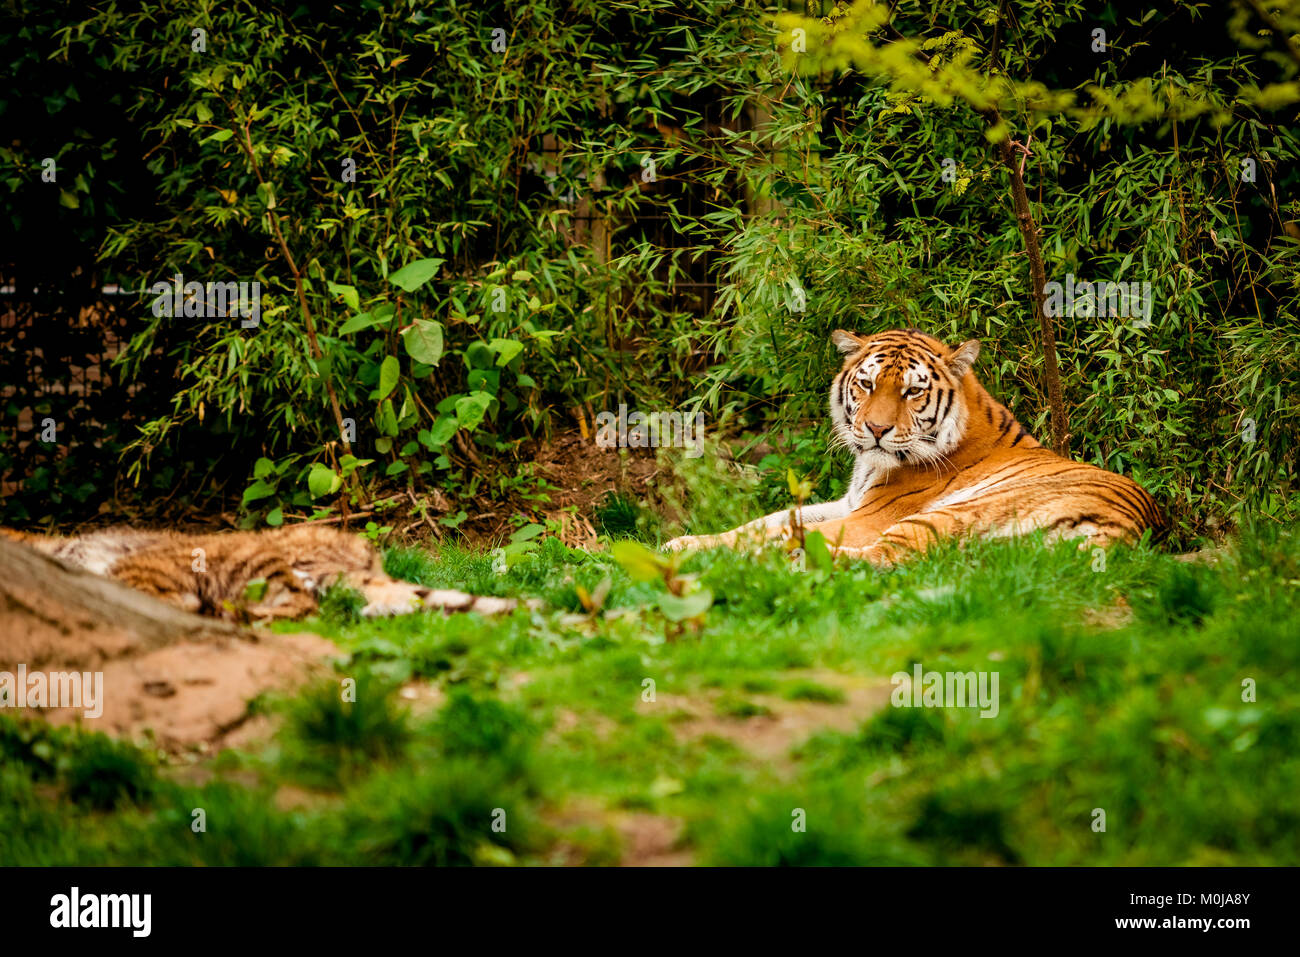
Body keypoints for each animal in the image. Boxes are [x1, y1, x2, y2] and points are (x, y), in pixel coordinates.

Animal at [664, 328, 1163, 563]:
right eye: (866, 384)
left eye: (912, 391)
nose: (876, 429)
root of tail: (1122, 533)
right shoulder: (849, 503)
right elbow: (766, 520)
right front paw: (685, 540)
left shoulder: (871, 516)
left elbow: (779, 529)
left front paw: (688, 549)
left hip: (950, 514)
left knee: (880, 558)